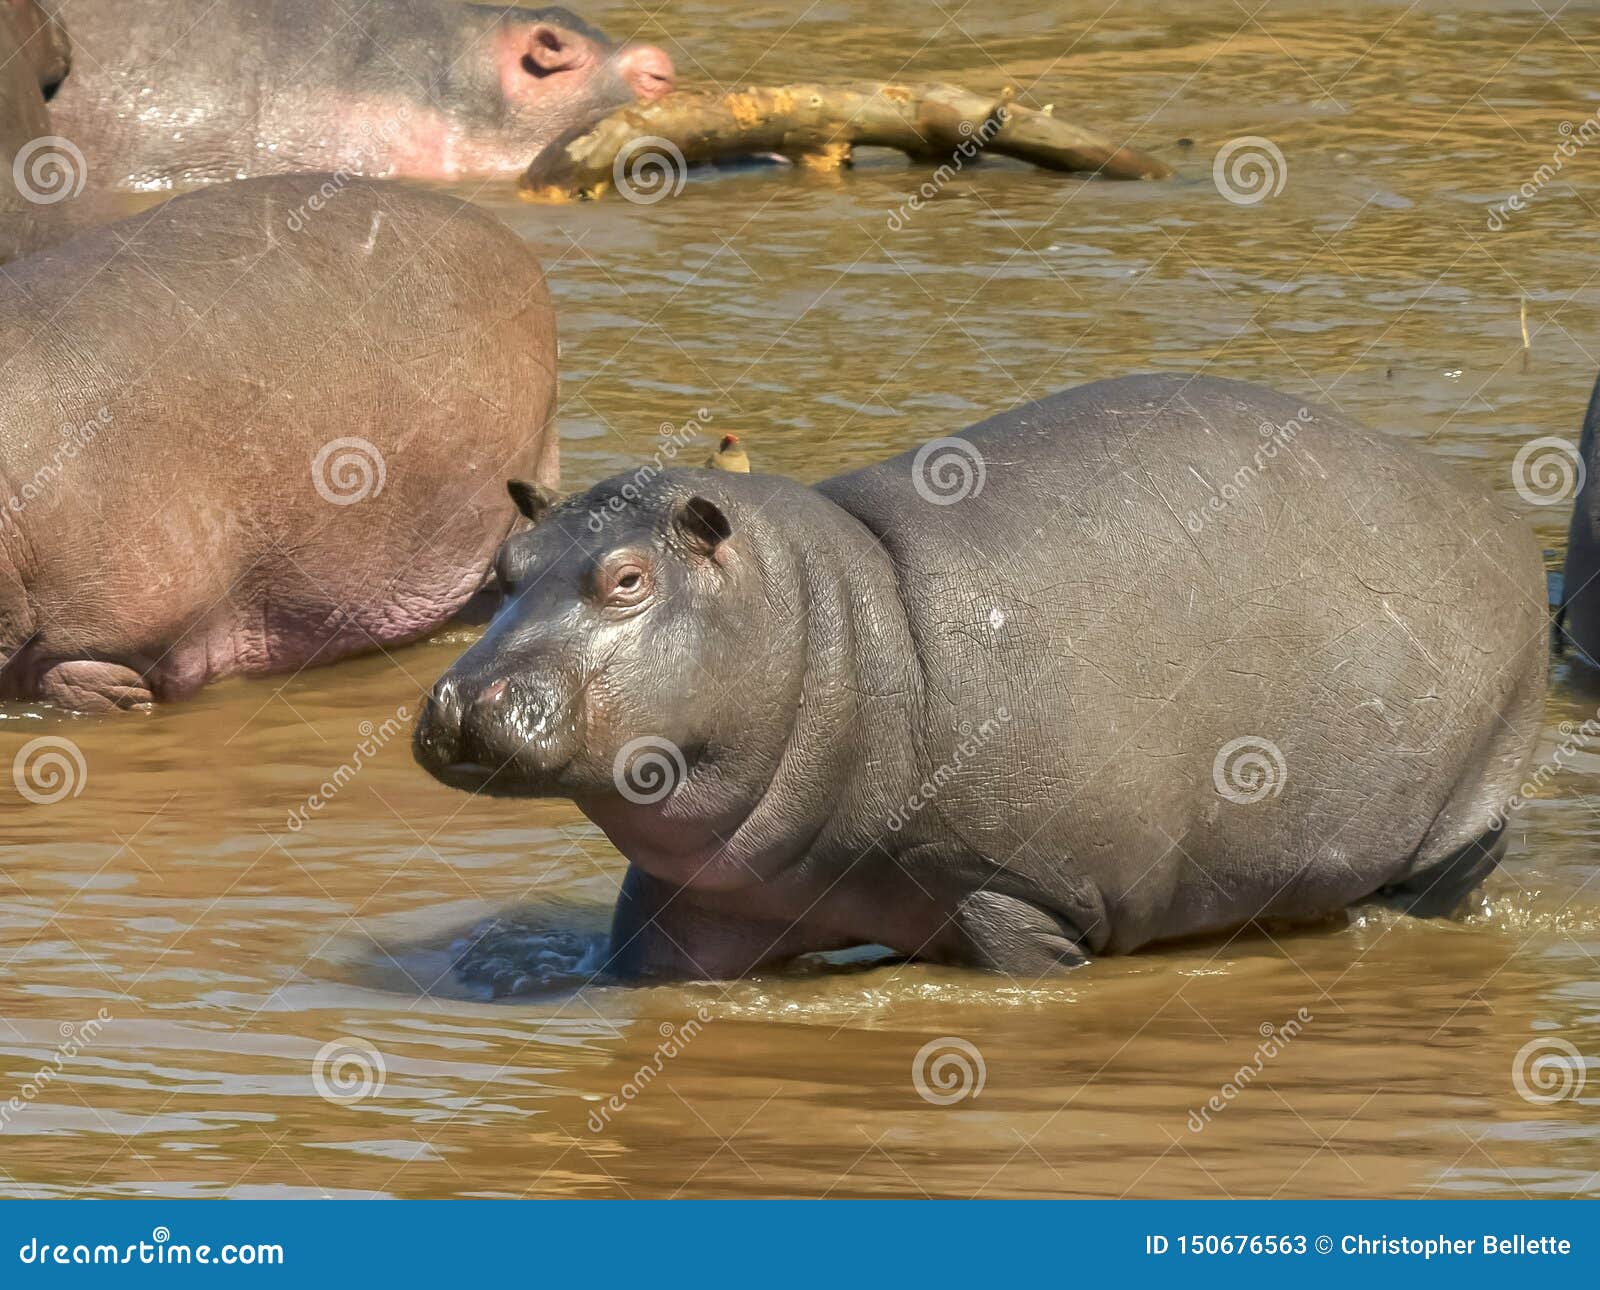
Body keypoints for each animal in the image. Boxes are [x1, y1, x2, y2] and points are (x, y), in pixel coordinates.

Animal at [414, 375, 1545, 980]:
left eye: (628, 577)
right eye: (505, 567)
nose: (462, 701)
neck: (836, 623)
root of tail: (1481, 507)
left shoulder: (1014, 895)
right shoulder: (689, 904)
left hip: (1463, 819)